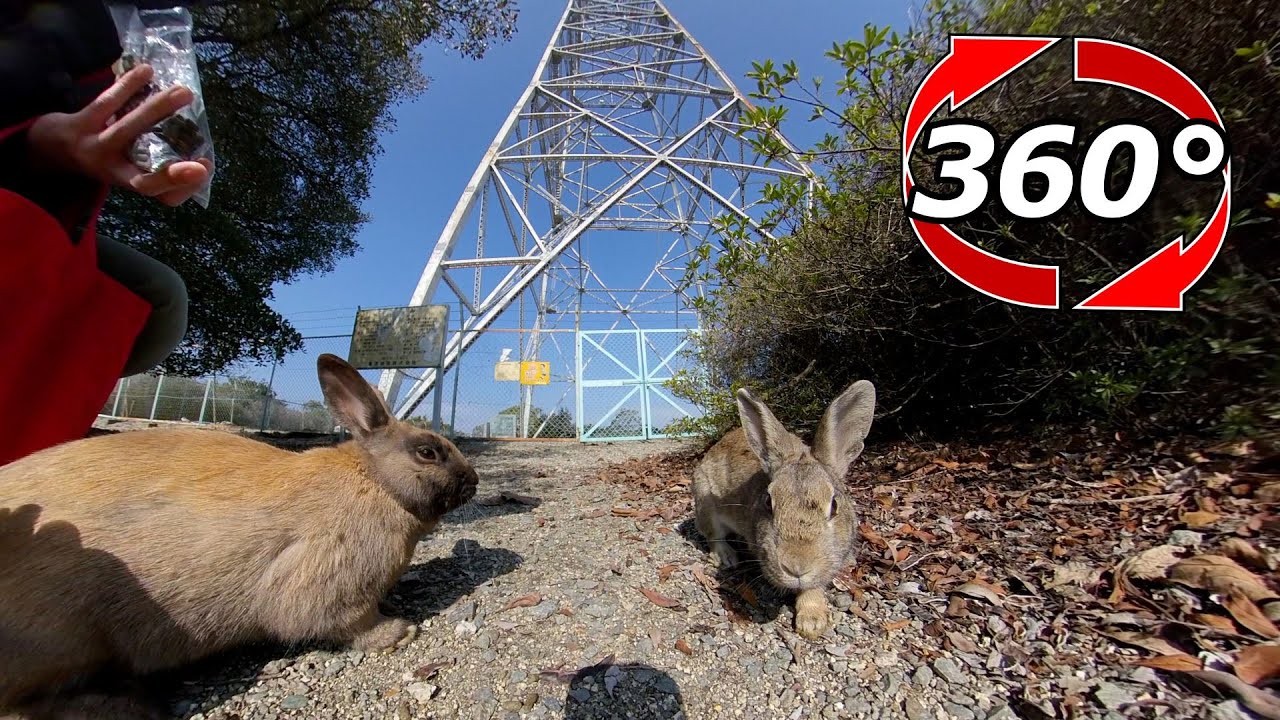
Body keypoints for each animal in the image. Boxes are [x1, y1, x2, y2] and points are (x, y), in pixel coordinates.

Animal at [0, 353, 479, 713]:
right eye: (428, 452)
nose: (474, 482)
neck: (376, 483)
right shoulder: (333, 586)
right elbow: (345, 622)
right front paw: (399, 632)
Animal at [691, 379, 875, 640]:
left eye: (834, 505)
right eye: (768, 502)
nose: (796, 567)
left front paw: (811, 621)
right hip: (705, 499)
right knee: (714, 536)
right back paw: (727, 557)